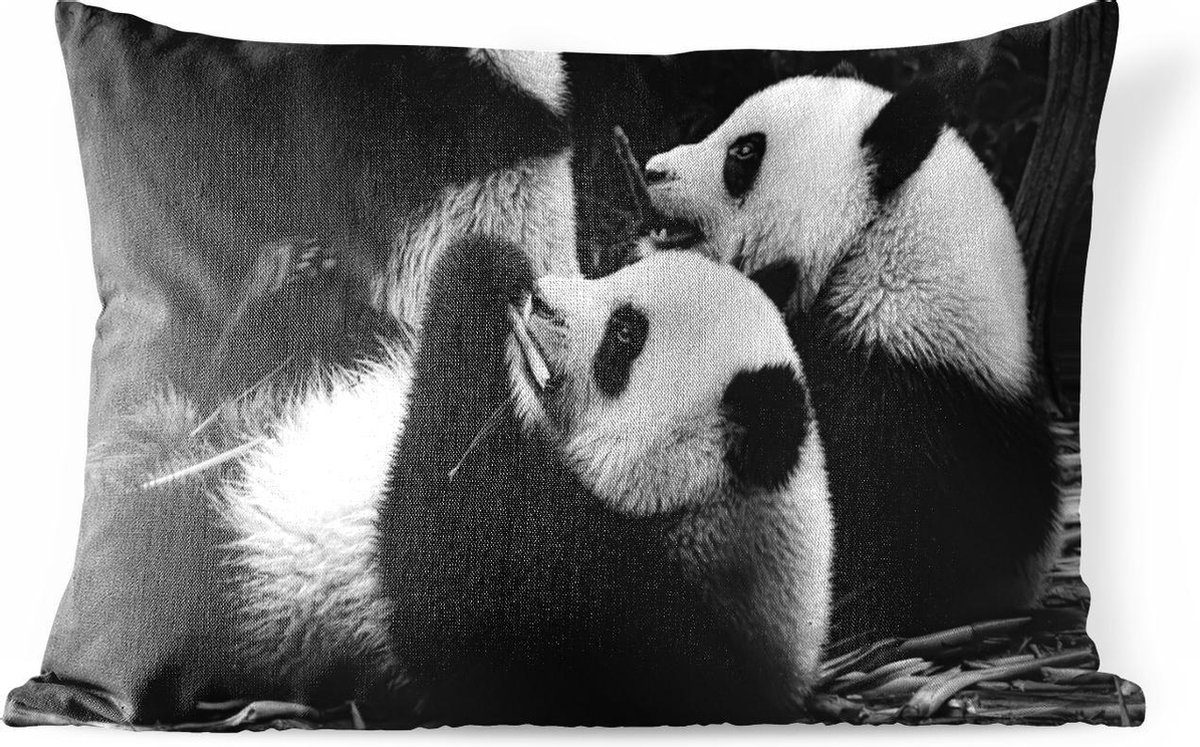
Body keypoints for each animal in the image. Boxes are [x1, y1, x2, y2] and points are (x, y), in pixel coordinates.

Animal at [217, 237, 833, 725]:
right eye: (614, 268)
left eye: (624, 335)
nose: (540, 298)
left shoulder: (625, 624)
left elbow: (448, 598)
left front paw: (477, 281)